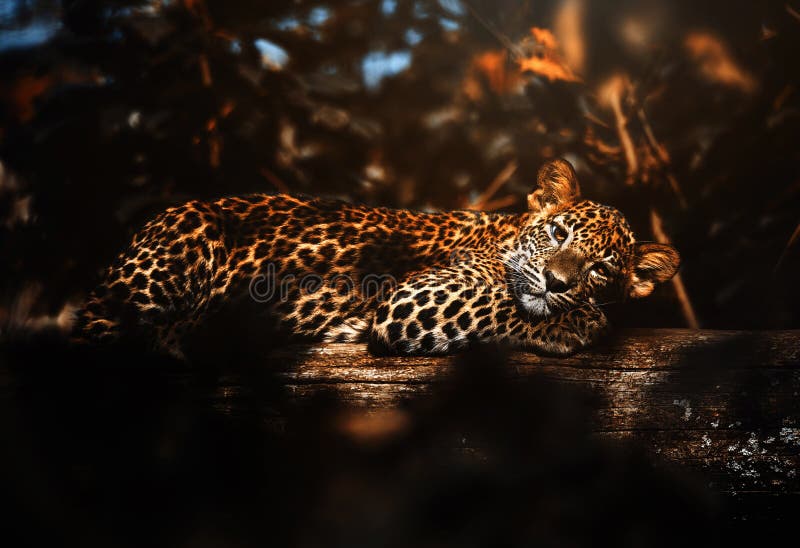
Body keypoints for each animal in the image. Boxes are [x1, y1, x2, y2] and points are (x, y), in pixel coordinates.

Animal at [72, 159, 680, 359]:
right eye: (556, 233)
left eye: (601, 268)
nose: (556, 283)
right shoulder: (419, 292)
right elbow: (499, 303)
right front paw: (574, 320)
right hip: (183, 236)